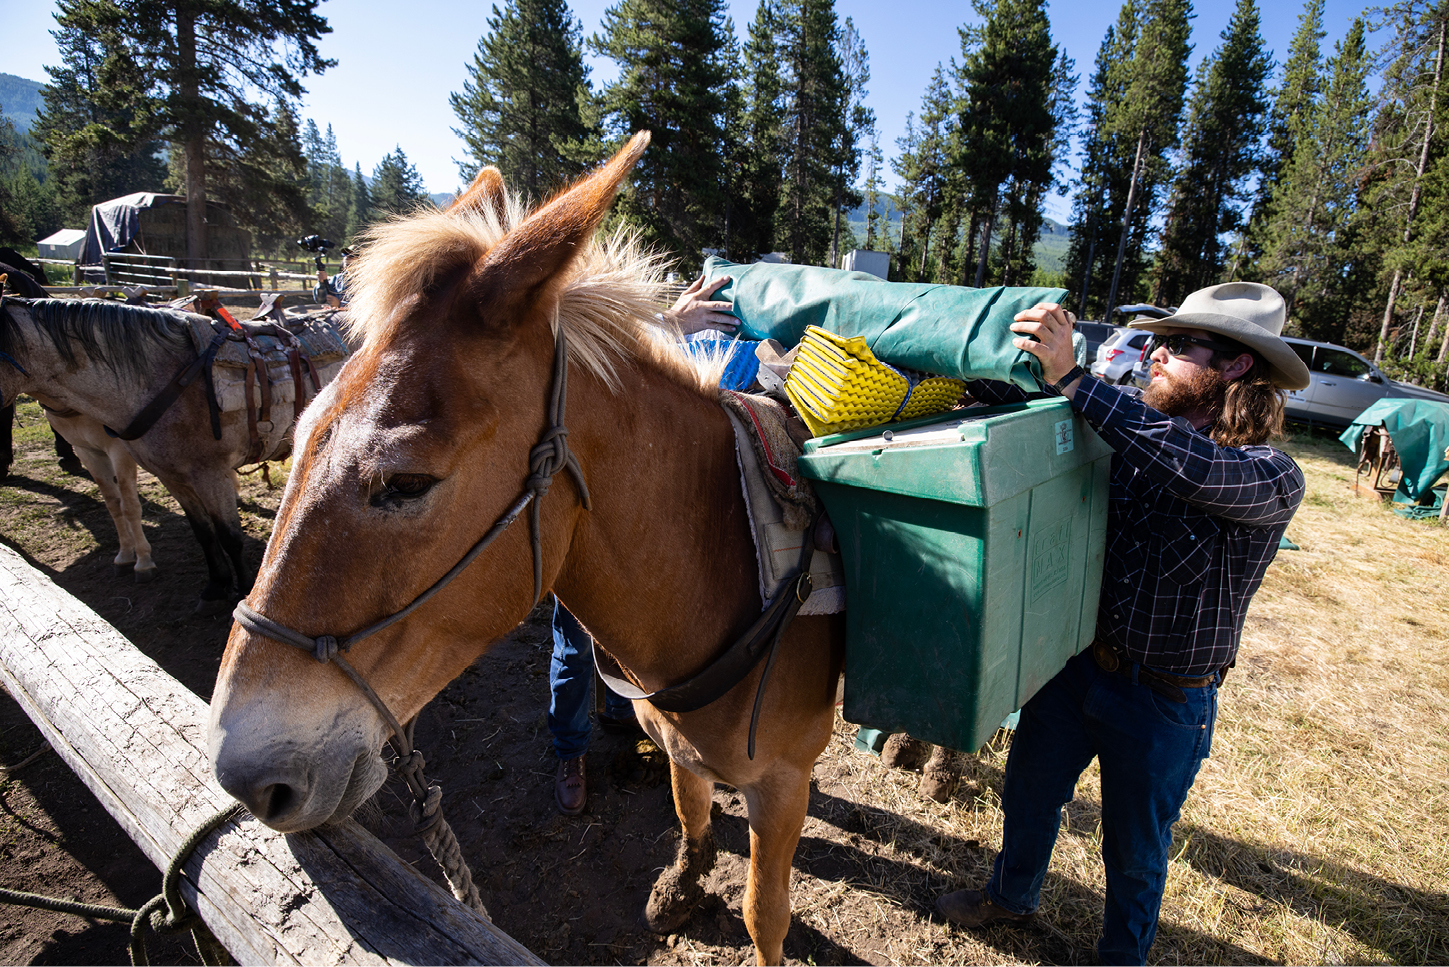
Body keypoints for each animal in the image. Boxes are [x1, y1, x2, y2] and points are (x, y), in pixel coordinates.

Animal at [0, 297, 319, 612]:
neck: (159, 379)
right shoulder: (168, 475)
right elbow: (203, 532)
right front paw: (216, 586)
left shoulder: (210, 473)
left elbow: (230, 537)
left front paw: (241, 590)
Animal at [208, 132, 847, 965]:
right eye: (301, 430)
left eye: (406, 481)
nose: (240, 771)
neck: (730, 558)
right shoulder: (680, 743)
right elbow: (690, 809)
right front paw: (683, 882)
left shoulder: (782, 784)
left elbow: (763, 914)